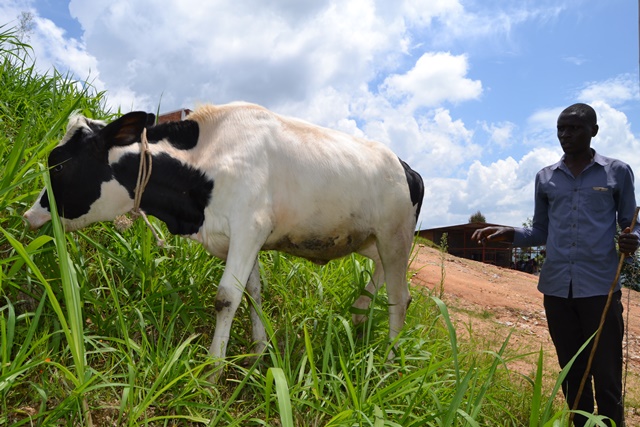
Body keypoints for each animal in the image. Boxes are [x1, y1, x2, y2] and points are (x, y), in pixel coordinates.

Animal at [24, 102, 424, 375]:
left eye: (60, 163)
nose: (29, 216)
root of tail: (406, 166)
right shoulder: (245, 237)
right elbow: (253, 293)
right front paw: (260, 353)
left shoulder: (249, 226)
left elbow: (226, 297)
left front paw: (213, 370)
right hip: (372, 240)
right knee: (380, 279)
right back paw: (358, 315)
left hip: (396, 236)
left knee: (399, 299)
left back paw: (388, 363)